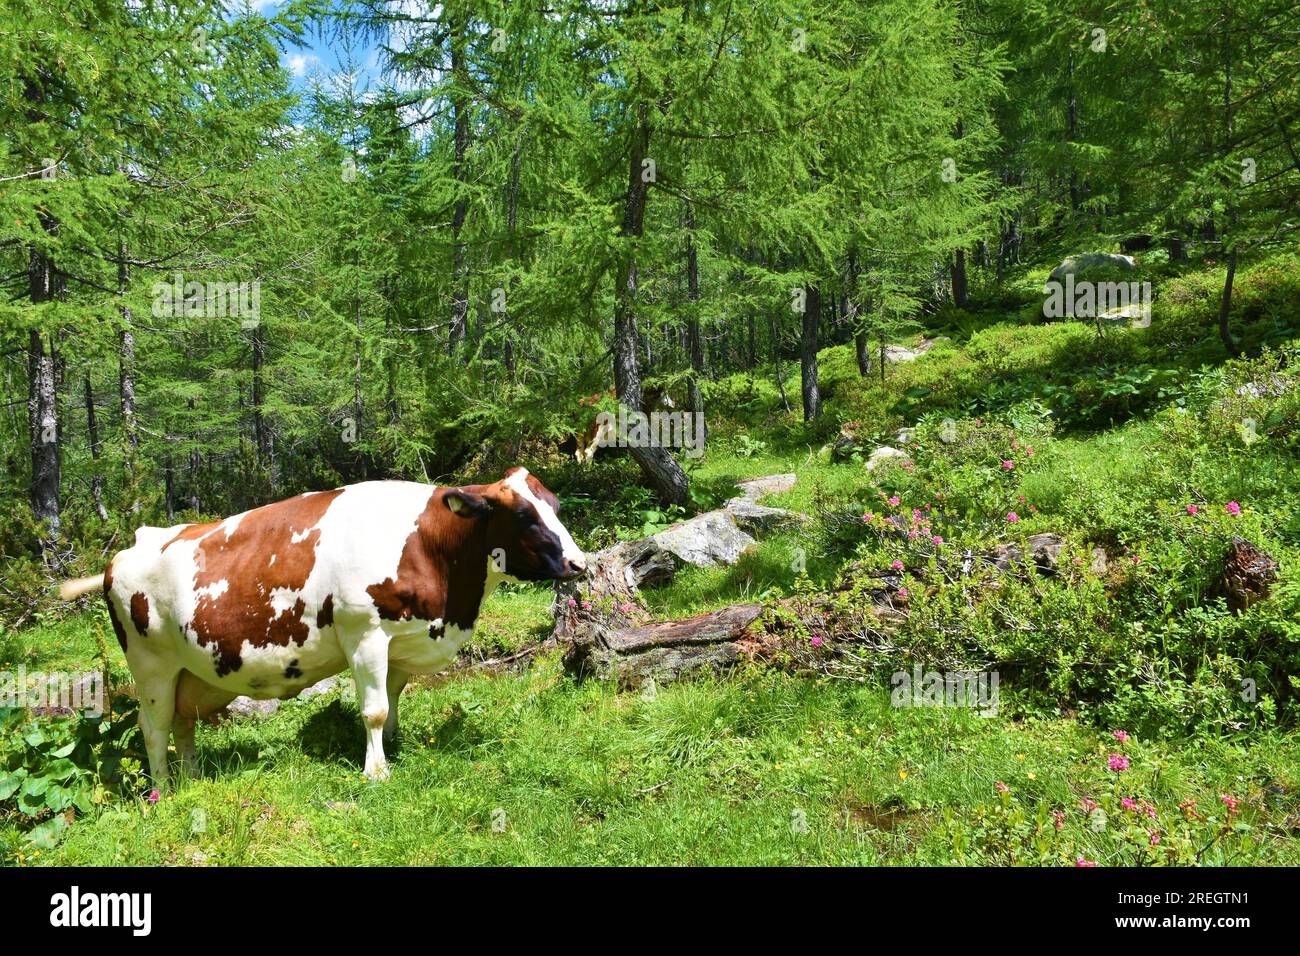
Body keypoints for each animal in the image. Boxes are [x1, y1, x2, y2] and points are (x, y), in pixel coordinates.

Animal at [58, 467, 585, 785]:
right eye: (523, 515)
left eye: (555, 505)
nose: (578, 563)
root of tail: (132, 545)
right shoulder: (365, 634)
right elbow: (373, 709)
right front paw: (376, 773)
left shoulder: (401, 641)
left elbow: (393, 702)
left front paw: (393, 749)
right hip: (151, 666)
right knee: (154, 728)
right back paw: (164, 792)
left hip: (195, 673)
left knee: (184, 724)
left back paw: (190, 782)